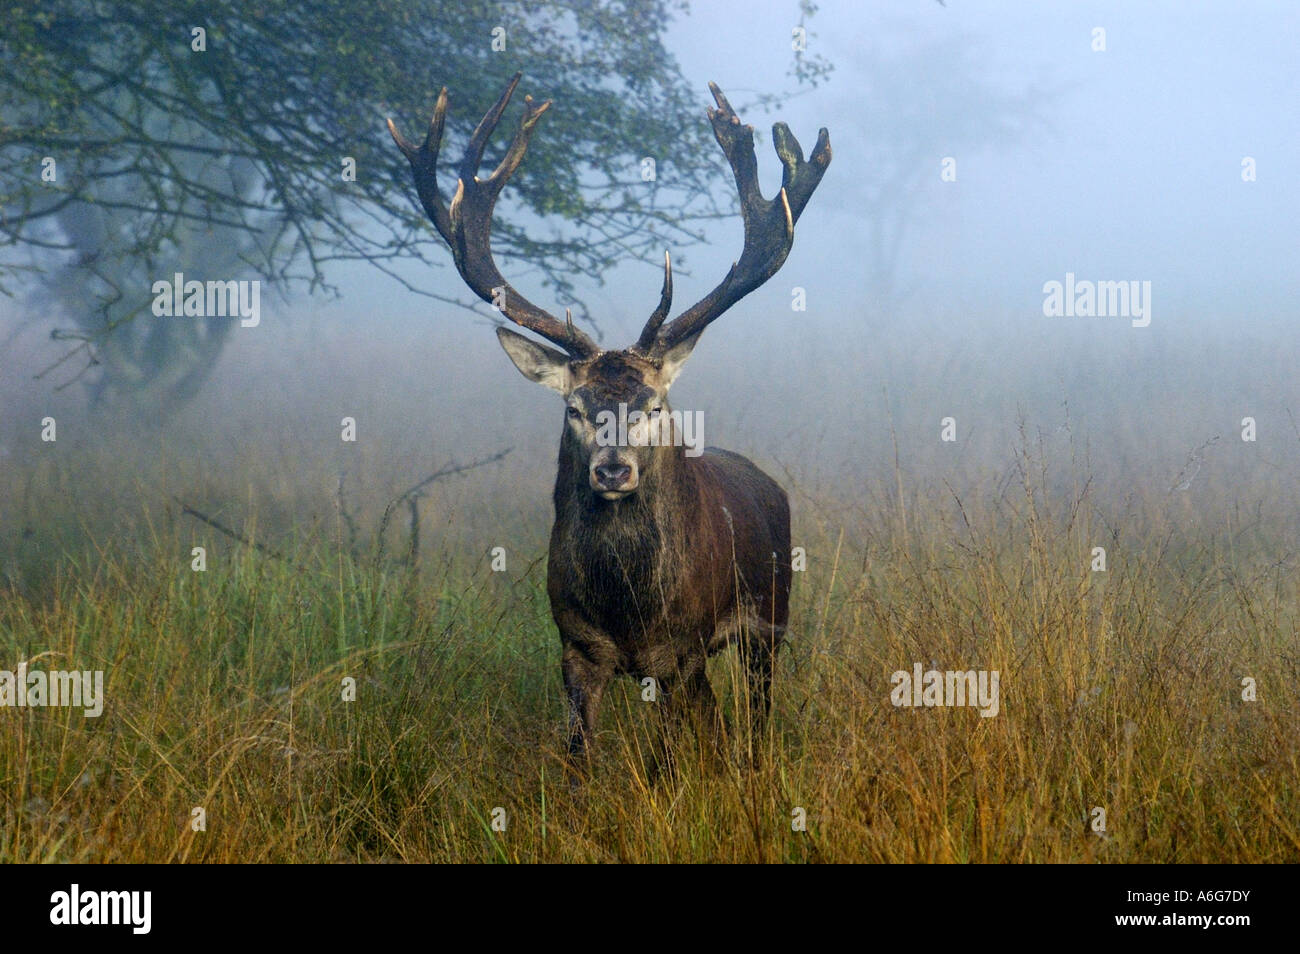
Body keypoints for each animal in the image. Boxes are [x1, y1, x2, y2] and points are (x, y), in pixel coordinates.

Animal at [388, 73, 830, 781]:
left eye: (652, 405)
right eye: (573, 406)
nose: (613, 469)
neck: (629, 611)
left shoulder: (679, 650)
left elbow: (671, 759)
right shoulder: (575, 645)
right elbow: (577, 758)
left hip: (771, 618)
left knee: (755, 717)